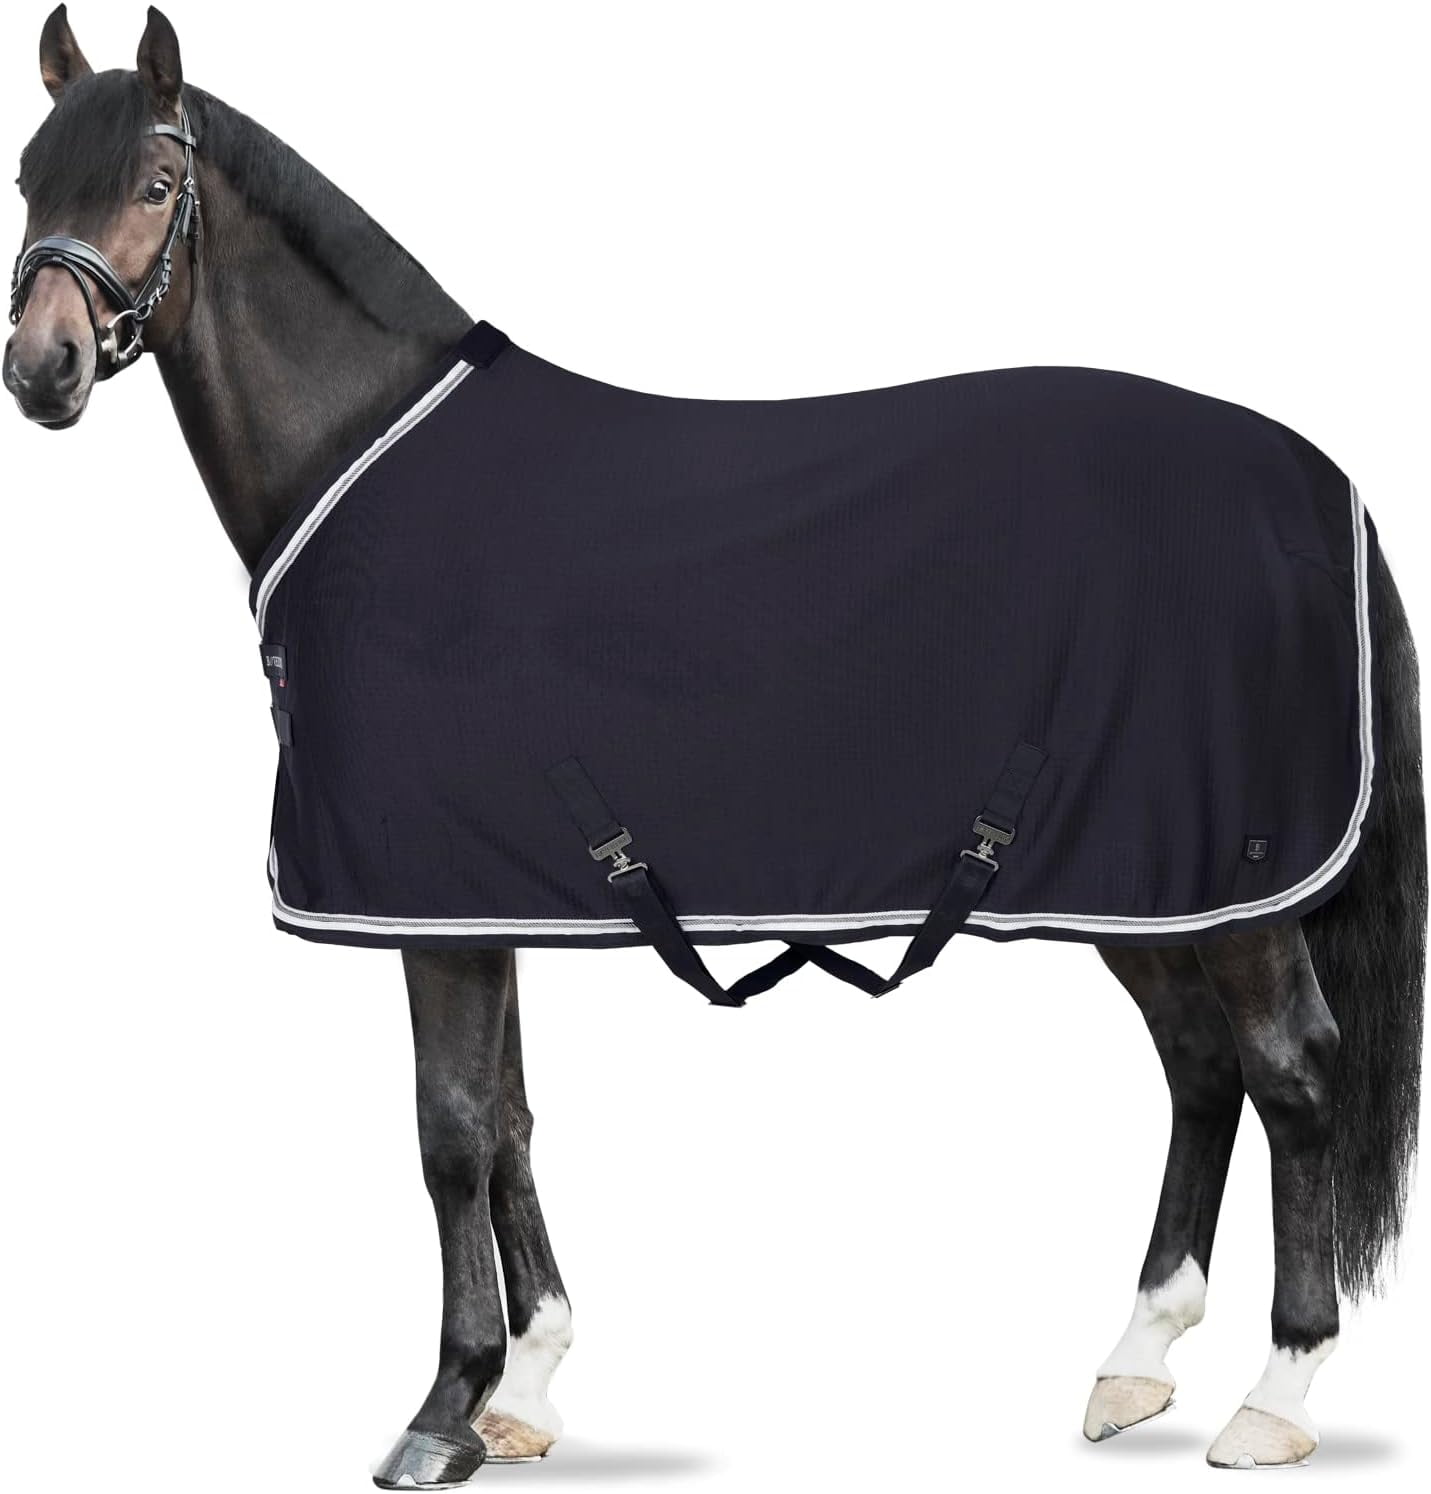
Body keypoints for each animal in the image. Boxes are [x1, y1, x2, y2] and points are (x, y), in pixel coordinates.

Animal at [5, 7, 1423, 1485]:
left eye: (152, 186)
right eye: (29, 182)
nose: (41, 369)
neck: (363, 455)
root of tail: (1321, 483)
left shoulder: (427, 911)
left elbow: (449, 1131)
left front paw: (444, 1405)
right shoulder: (485, 893)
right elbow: (510, 1118)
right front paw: (528, 1385)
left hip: (1225, 885)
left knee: (1292, 1073)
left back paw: (1276, 1391)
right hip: (1135, 877)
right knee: (1200, 1068)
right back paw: (1137, 1358)